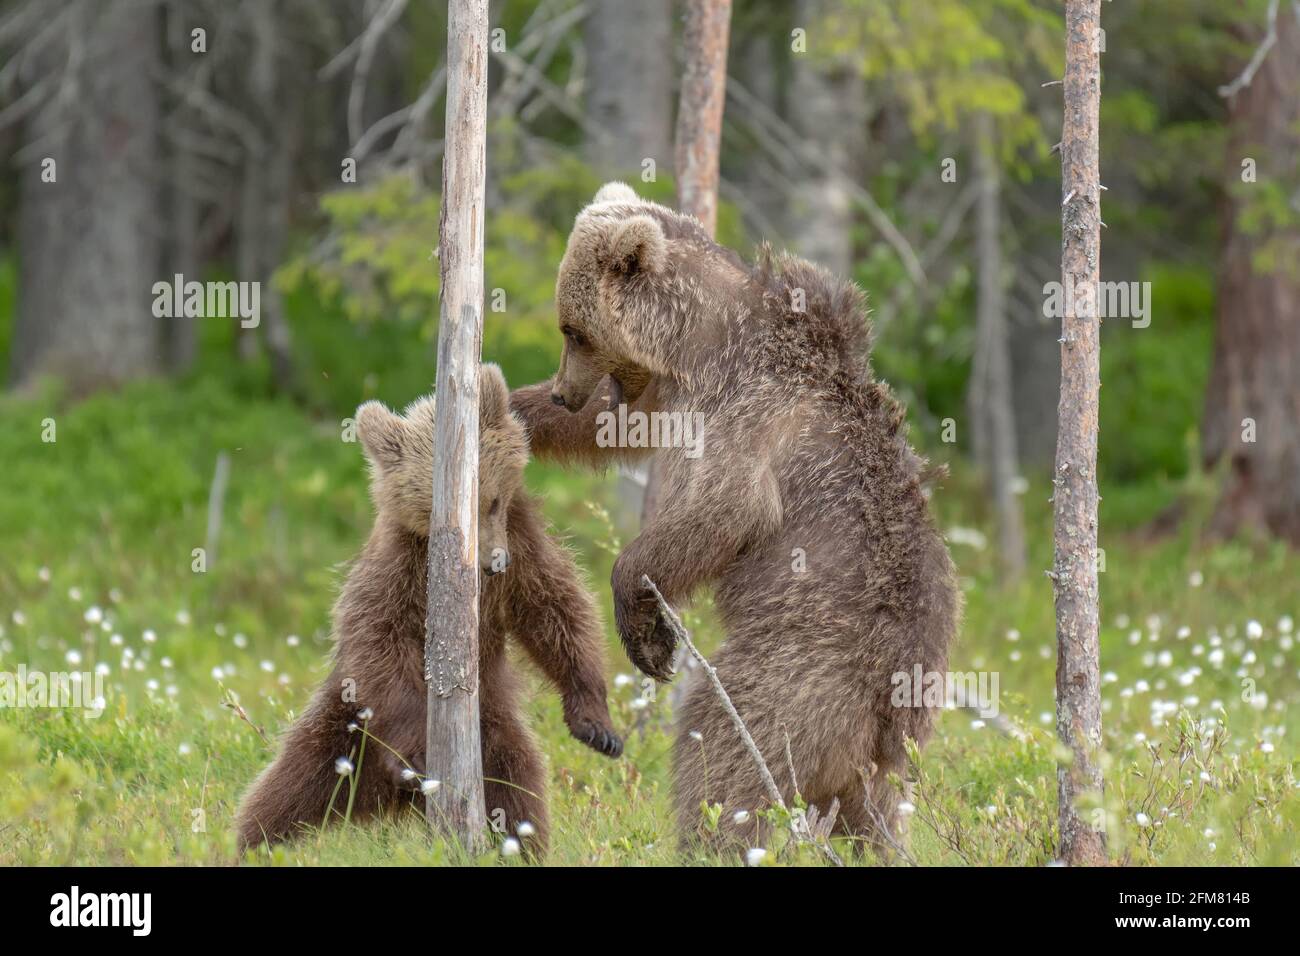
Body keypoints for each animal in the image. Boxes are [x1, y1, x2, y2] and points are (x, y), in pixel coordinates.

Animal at [235, 364, 621, 858]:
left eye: (491, 500)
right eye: (438, 508)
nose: (492, 564)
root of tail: (389, 799)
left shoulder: (521, 545)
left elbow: (557, 607)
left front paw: (597, 725)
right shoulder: (398, 568)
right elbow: (379, 637)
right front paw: (418, 753)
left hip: (489, 730)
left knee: (516, 786)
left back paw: (518, 846)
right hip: (345, 726)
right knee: (284, 795)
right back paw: (252, 842)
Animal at [510, 182, 959, 852]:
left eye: (574, 330)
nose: (564, 391)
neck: (696, 338)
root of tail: (888, 708)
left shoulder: (743, 403)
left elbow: (727, 506)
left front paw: (645, 629)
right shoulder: (670, 392)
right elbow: (615, 426)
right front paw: (502, 404)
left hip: (799, 672)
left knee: (724, 748)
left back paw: (705, 836)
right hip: (887, 746)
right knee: (877, 819)